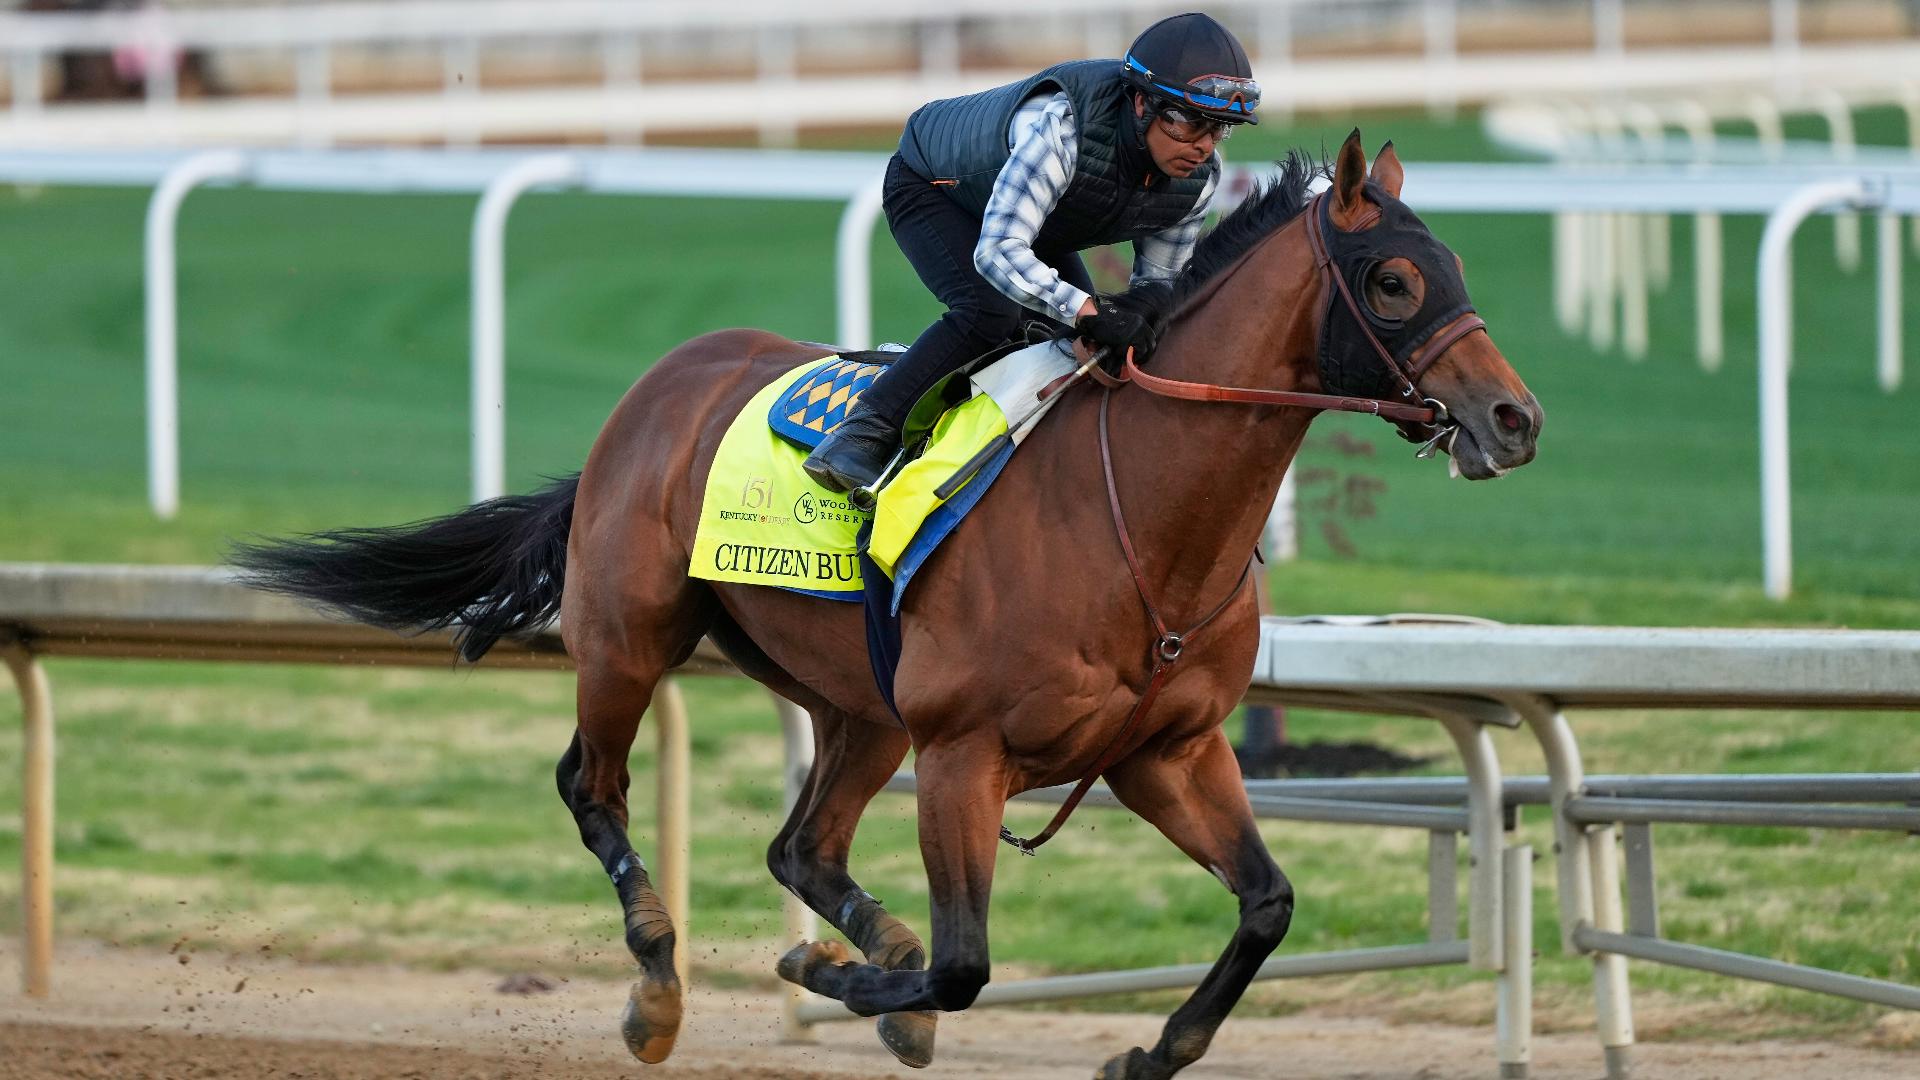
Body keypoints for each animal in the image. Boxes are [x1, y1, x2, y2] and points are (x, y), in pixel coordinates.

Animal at [233, 131, 1541, 1079]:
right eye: (1394, 279)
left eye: (1459, 269)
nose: (1514, 419)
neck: (1138, 511)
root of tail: (655, 388)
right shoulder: (966, 752)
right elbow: (965, 963)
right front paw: (843, 985)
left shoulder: (1164, 751)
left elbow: (1267, 904)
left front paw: (1146, 1050)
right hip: (630, 640)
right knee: (592, 786)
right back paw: (659, 988)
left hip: (860, 706)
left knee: (800, 846)